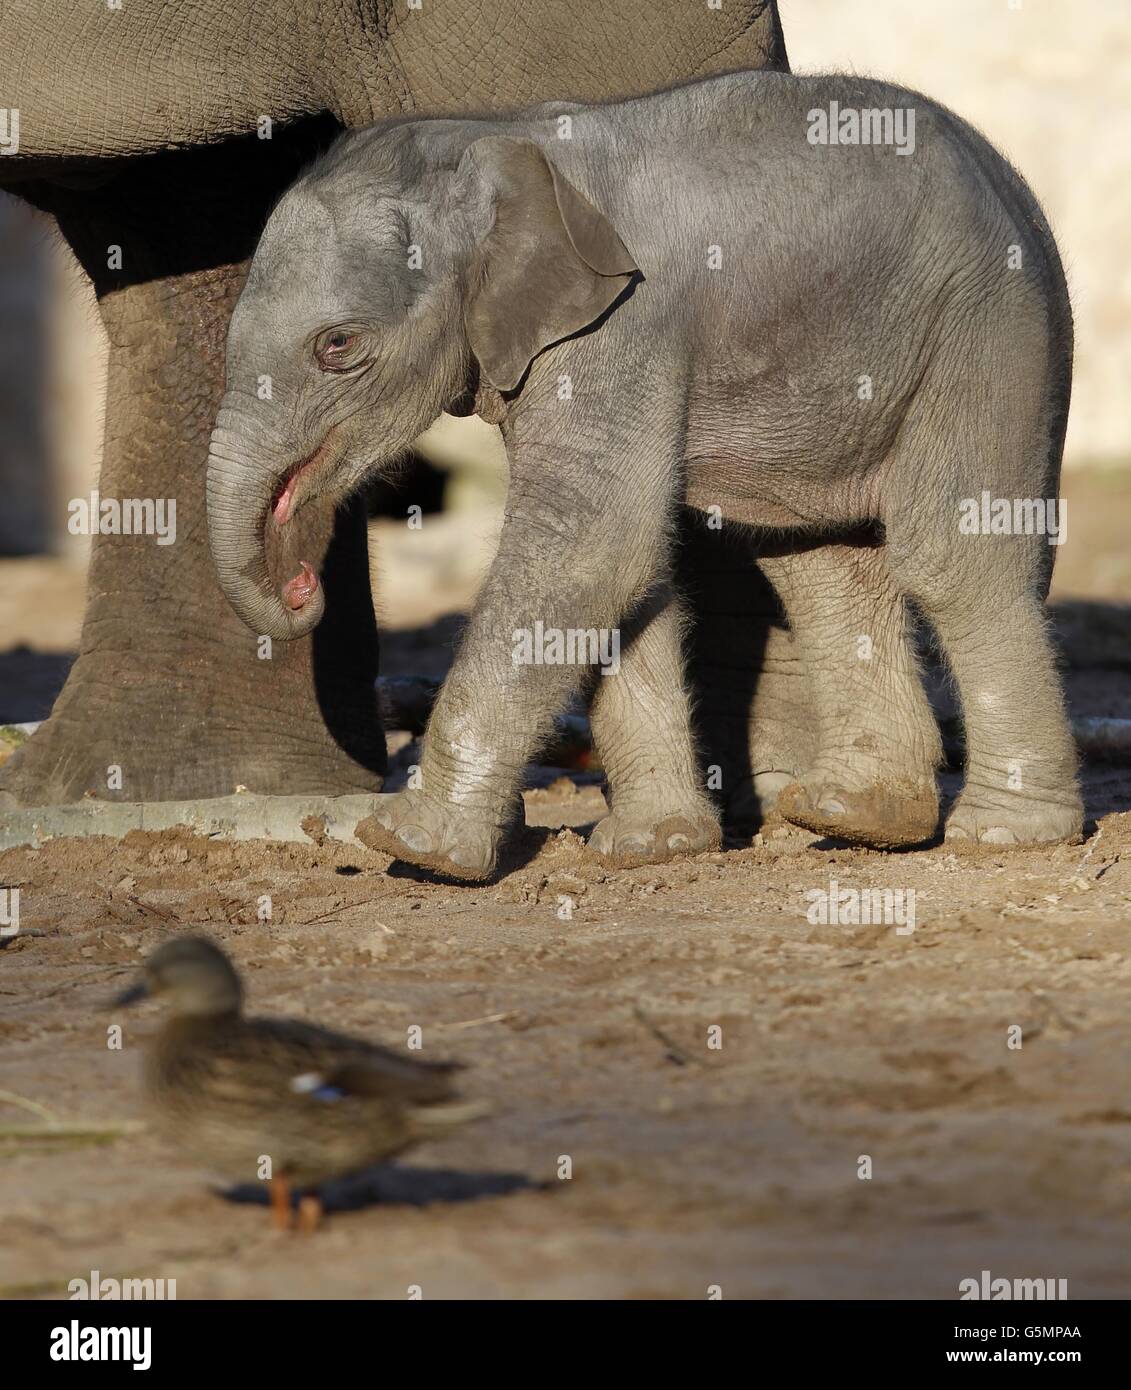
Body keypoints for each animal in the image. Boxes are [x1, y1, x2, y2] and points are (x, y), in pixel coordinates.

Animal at [205, 70, 1082, 881]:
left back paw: (1002, 836)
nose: (301, 590)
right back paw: (854, 814)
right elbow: (630, 580)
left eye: (338, 346)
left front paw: (411, 846)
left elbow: (589, 552)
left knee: (951, 555)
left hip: (989, 324)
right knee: (820, 565)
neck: (501, 144)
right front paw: (650, 847)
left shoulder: (623, 330)